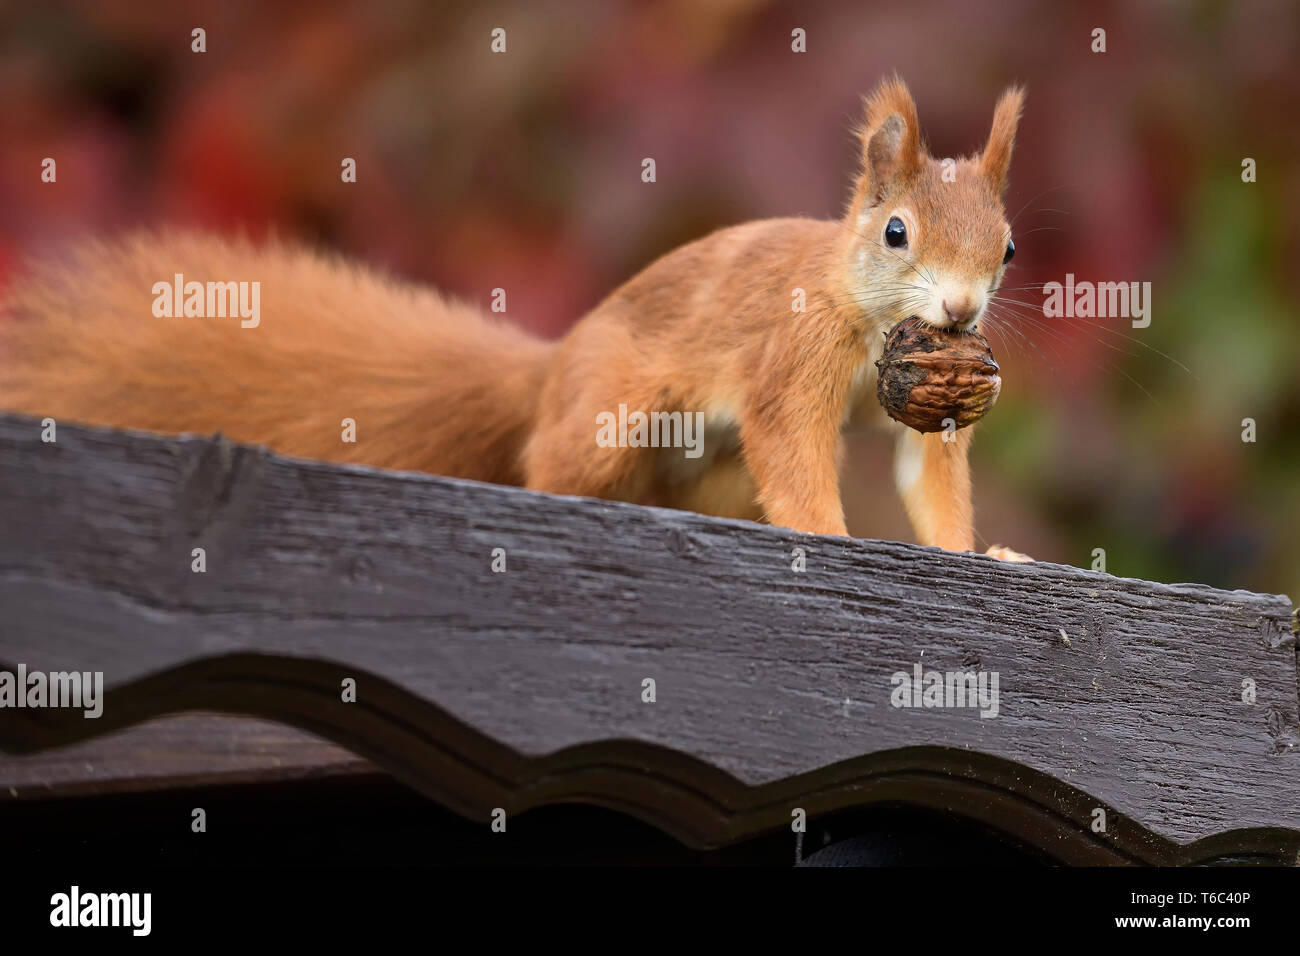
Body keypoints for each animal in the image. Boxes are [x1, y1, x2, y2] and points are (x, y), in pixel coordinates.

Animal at [0, 77, 1030, 561]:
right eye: (896, 233)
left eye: (1009, 248)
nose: (960, 306)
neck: (862, 314)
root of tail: (553, 366)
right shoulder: (793, 357)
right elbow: (791, 442)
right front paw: (829, 538)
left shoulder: (929, 396)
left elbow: (929, 473)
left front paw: (985, 552)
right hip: (608, 423)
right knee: (553, 467)